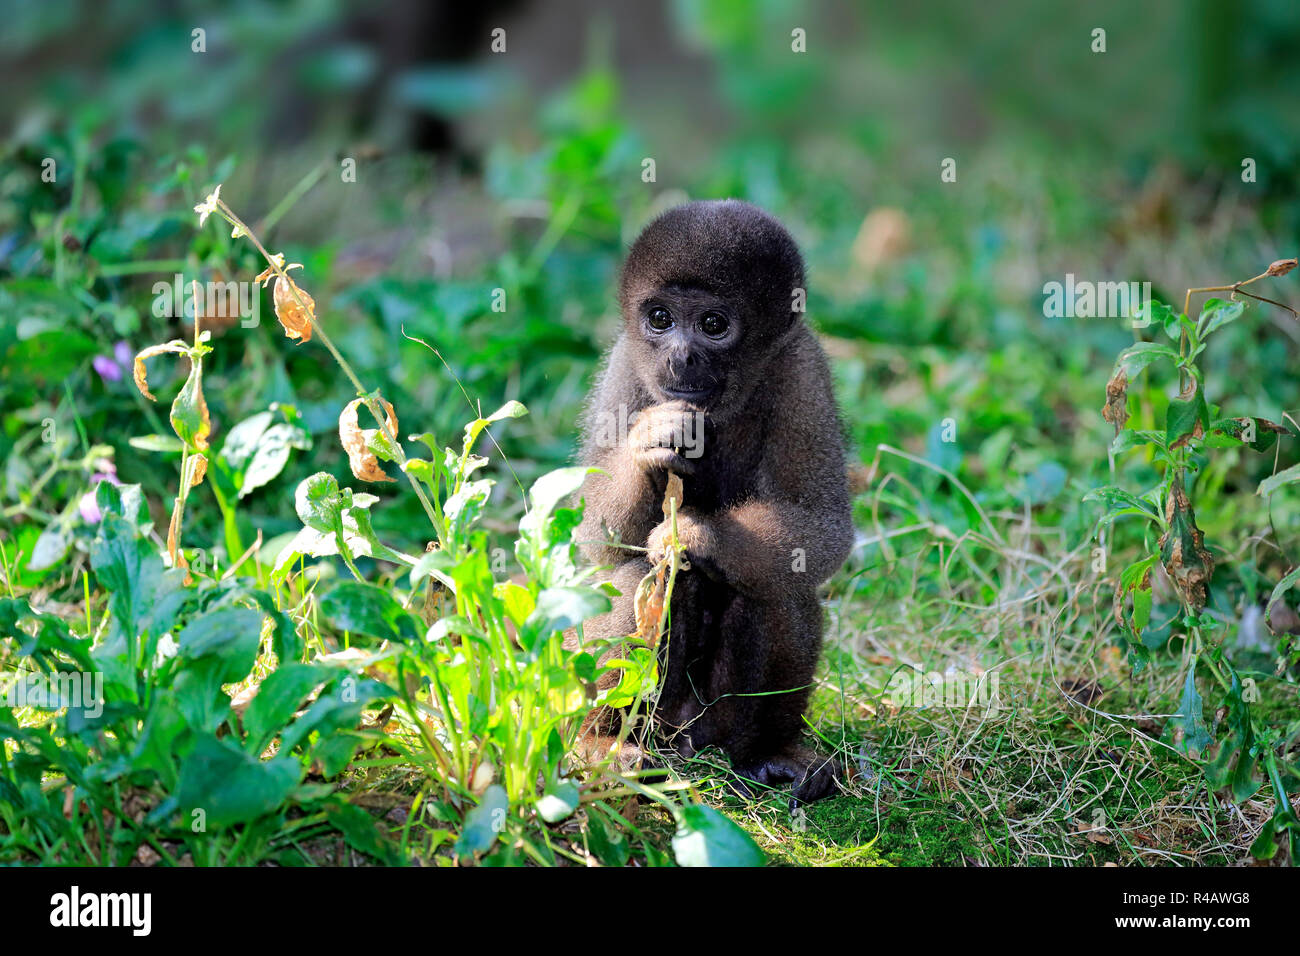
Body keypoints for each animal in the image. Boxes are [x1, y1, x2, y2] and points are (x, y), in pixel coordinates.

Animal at [572, 199, 854, 804]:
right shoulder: (626, 365)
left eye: (714, 325)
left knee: (776, 586)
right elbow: (594, 539)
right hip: (655, 716)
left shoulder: (804, 370)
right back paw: (601, 745)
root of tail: (685, 741)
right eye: (660, 319)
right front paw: (651, 444)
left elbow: (822, 523)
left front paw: (695, 535)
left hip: (715, 720)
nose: (680, 359)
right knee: (637, 579)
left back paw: (767, 752)